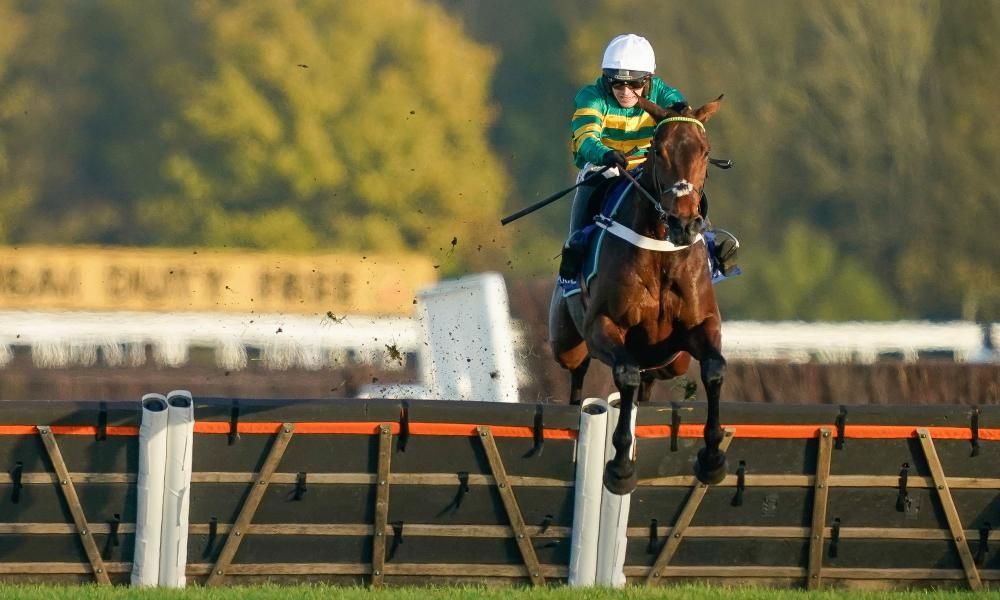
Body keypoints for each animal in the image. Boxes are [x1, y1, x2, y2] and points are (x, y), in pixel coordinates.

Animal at [548, 95, 728, 495]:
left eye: (706, 151)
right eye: (659, 151)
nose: (684, 223)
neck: (662, 253)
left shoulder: (702, 325)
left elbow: (714, 369)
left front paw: (712, 458)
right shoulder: (602, 326)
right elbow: (626, 373)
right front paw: (620, 466)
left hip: (672, 359)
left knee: (650, 379)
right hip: (566, 342)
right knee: (579, 374)